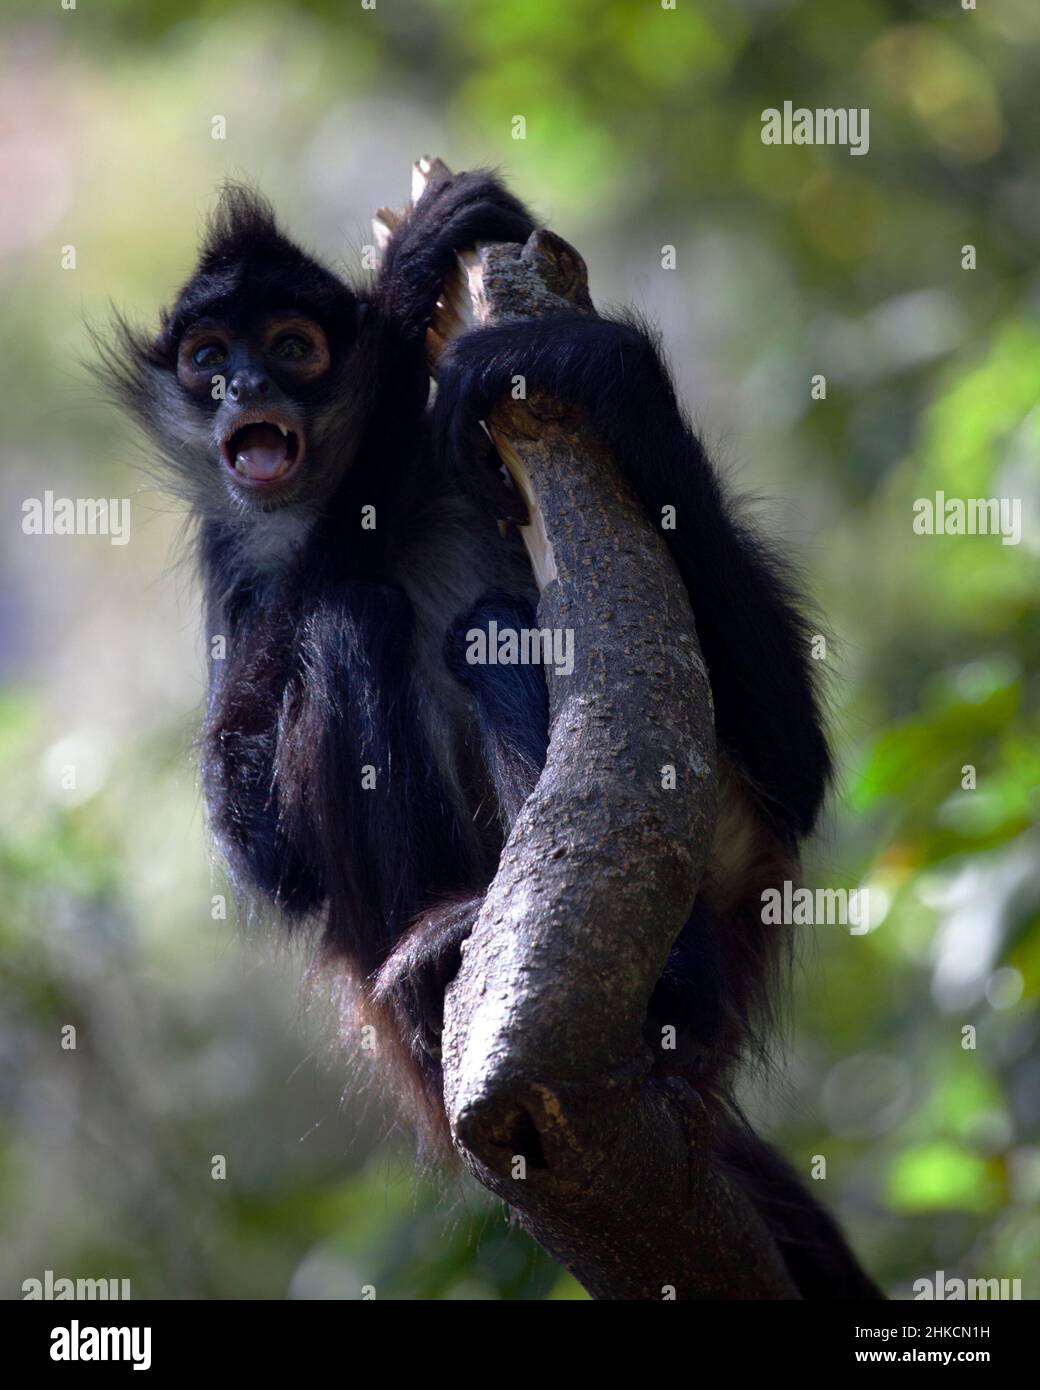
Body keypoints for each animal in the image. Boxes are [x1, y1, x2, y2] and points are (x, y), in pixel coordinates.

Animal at [94, 168, 881, 1298]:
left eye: (291, 345)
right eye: (207, 359)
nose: (245, 391)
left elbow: (797, 766)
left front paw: (590, 364)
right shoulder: (230, 555)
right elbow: (262, 855)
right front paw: (399, 304)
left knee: (492, 629)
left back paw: (653, 987)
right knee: (348, 617)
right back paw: (442, 946)